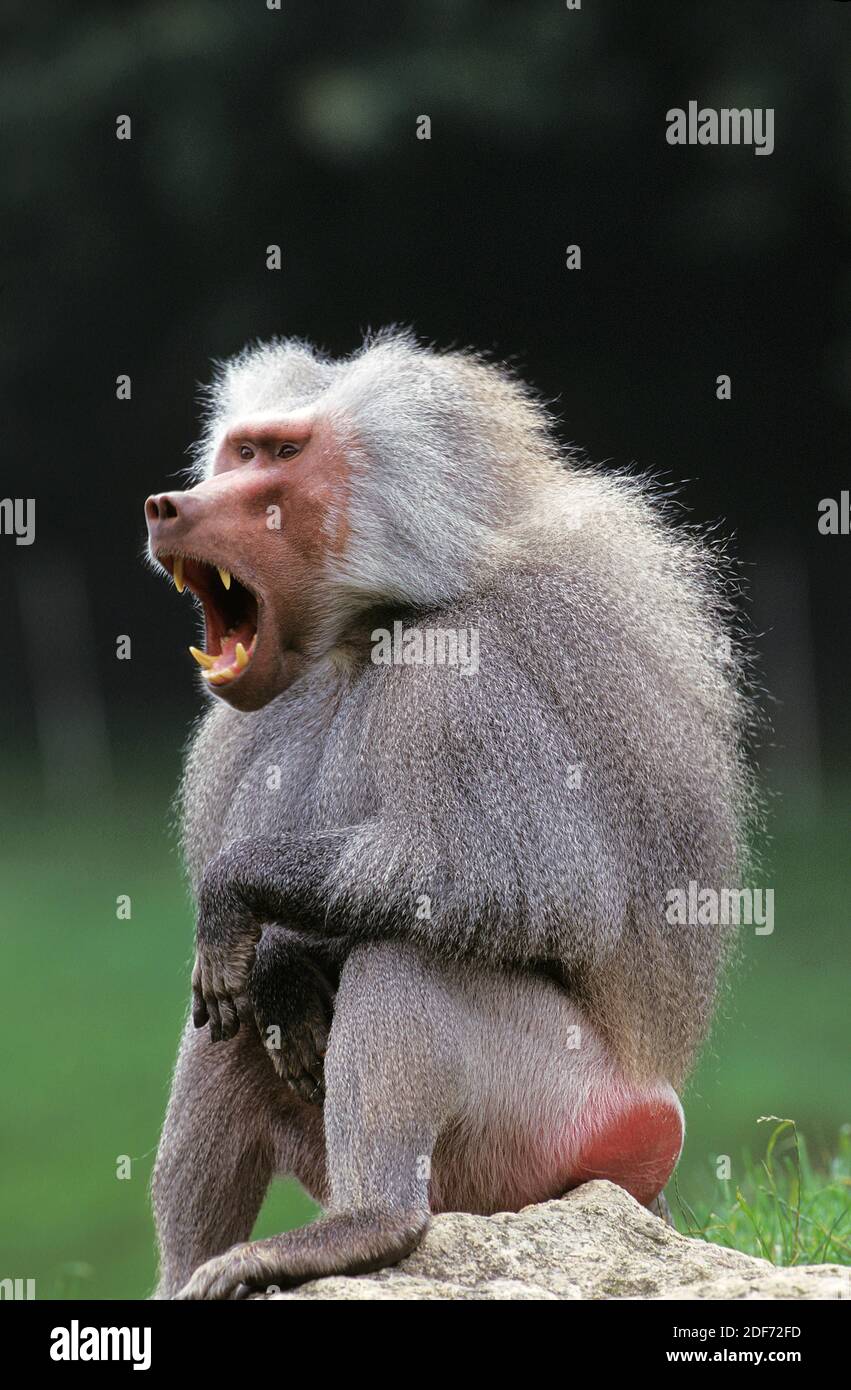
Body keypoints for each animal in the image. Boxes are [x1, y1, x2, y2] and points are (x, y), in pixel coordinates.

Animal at [144, 329, 755, 1300]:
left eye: (281, 455)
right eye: (238, 450)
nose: (169, 505)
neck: (370, 631)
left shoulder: (470, 686)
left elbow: (516, 888)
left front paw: (241, 891)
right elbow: (263, 966)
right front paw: (278, 961)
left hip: (571, 1111)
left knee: (410, 948)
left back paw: (363, 1228)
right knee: (224, 1014)